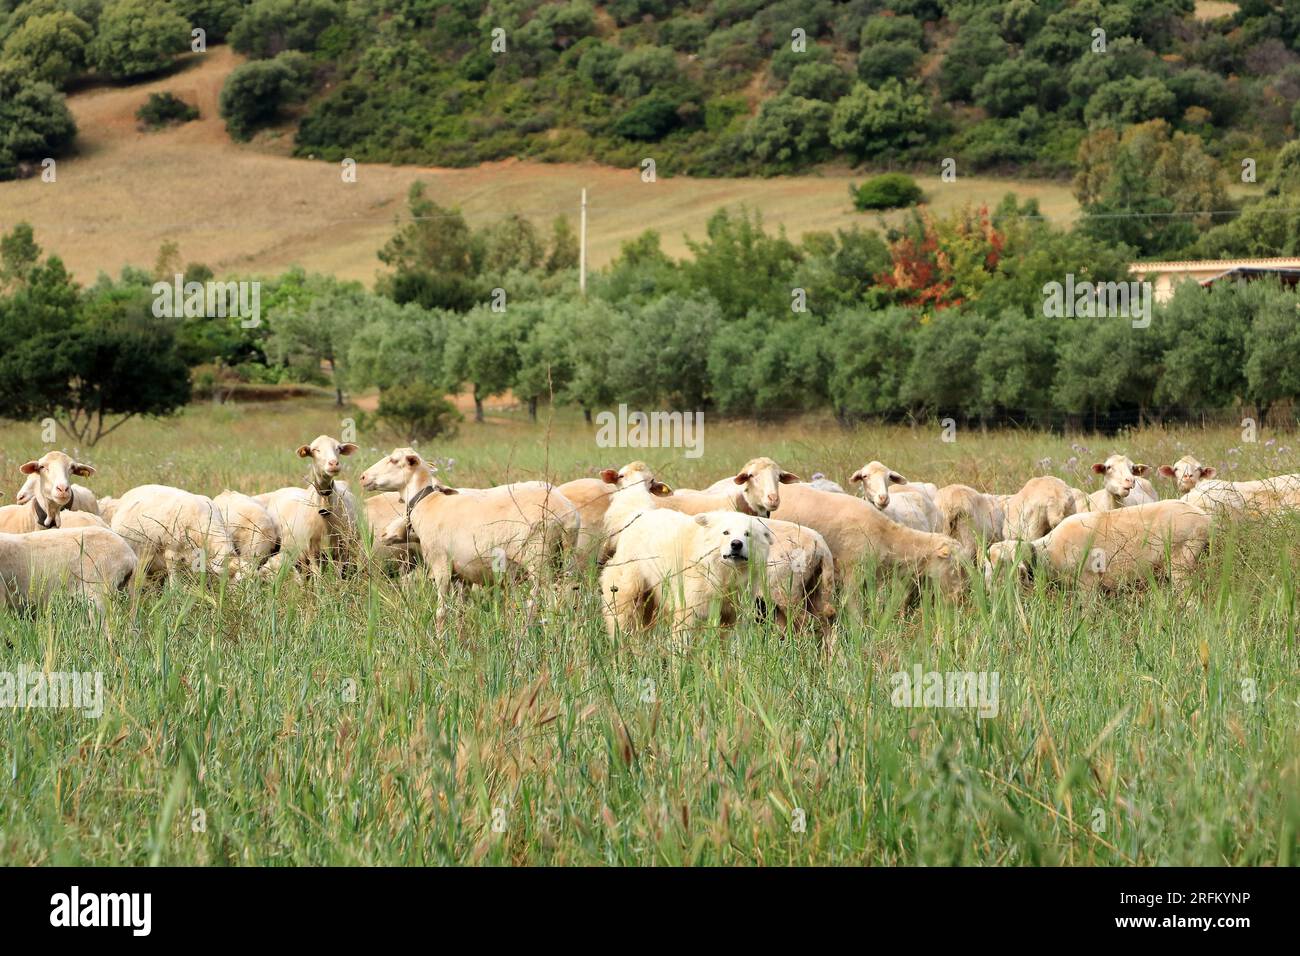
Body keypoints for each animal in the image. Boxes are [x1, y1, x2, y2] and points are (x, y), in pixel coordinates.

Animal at [254, 435, 360, 573]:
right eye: (315, 450)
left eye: (338, 448)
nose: (333, 463)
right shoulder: (312, 549)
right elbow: (317, 573)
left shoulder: (341, 547)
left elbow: (338, 572)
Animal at [359, 448, 580, 612]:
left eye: (394, 460)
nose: (362, 477)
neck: (428, 502)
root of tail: (567, 514)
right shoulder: (461, 574)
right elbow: (461, 610)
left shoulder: (441, 564)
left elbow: (442, 609)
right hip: (566, 558)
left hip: (539, 558)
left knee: (550, 600)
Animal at [986, 500, 1210, 592]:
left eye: (1003, 565)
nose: (988, 592)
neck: (1046, 553)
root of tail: (1205, 519)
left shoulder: (1088, 581)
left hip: (1182, 559)